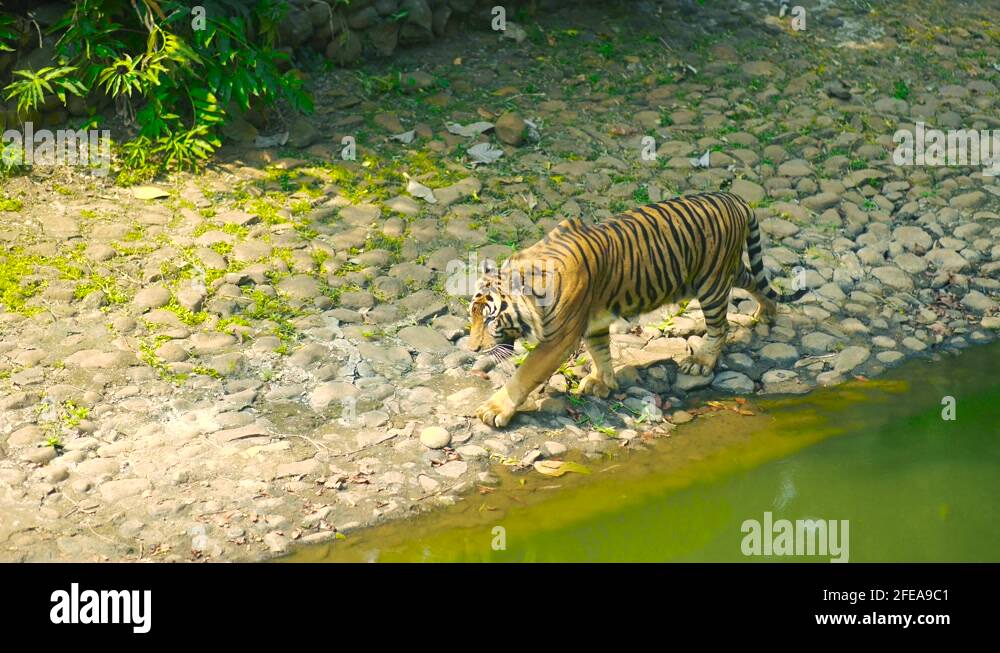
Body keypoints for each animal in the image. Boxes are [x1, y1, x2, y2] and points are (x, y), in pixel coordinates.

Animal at [467, 190, 808, 428]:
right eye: (472, 315)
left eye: (491, 319)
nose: (471, 350)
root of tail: (734, 198)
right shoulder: (593, 320)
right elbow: (600, 350)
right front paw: (601, 381)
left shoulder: (558, 339)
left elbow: (525, 374)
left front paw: (493, 410)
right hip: (725, 271)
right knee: (754, 280)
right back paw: (767, 312)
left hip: (711, 283)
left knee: (720, 326)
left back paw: (701, 362)